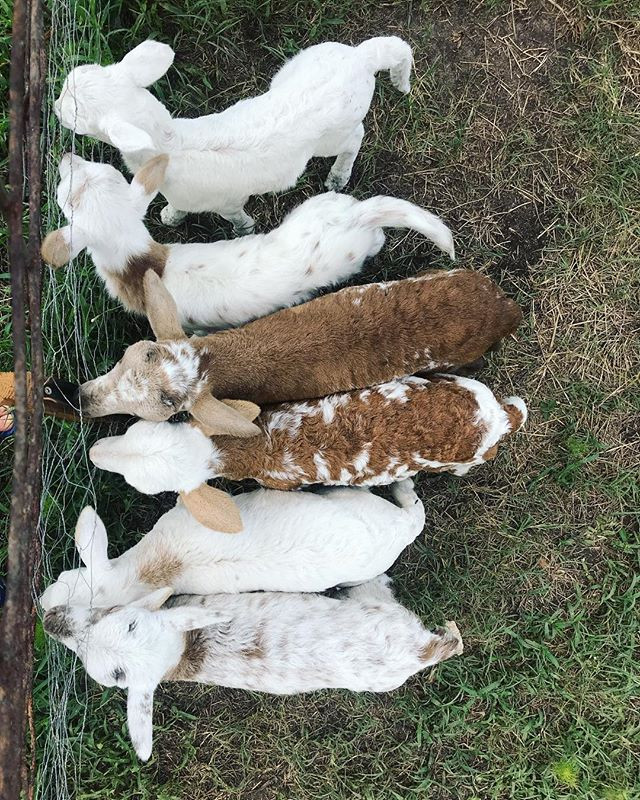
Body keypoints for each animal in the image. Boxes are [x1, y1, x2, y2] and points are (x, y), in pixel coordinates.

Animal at [53, 37, 414, 233]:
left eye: (76, 120)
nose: (55, 107)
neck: (173, 144)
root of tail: (361, 58)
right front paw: (170, 216)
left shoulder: (223, 203)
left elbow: (231, 217)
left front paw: (241, 228)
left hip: (334, 135)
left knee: (356, 137)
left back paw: (339, 176)